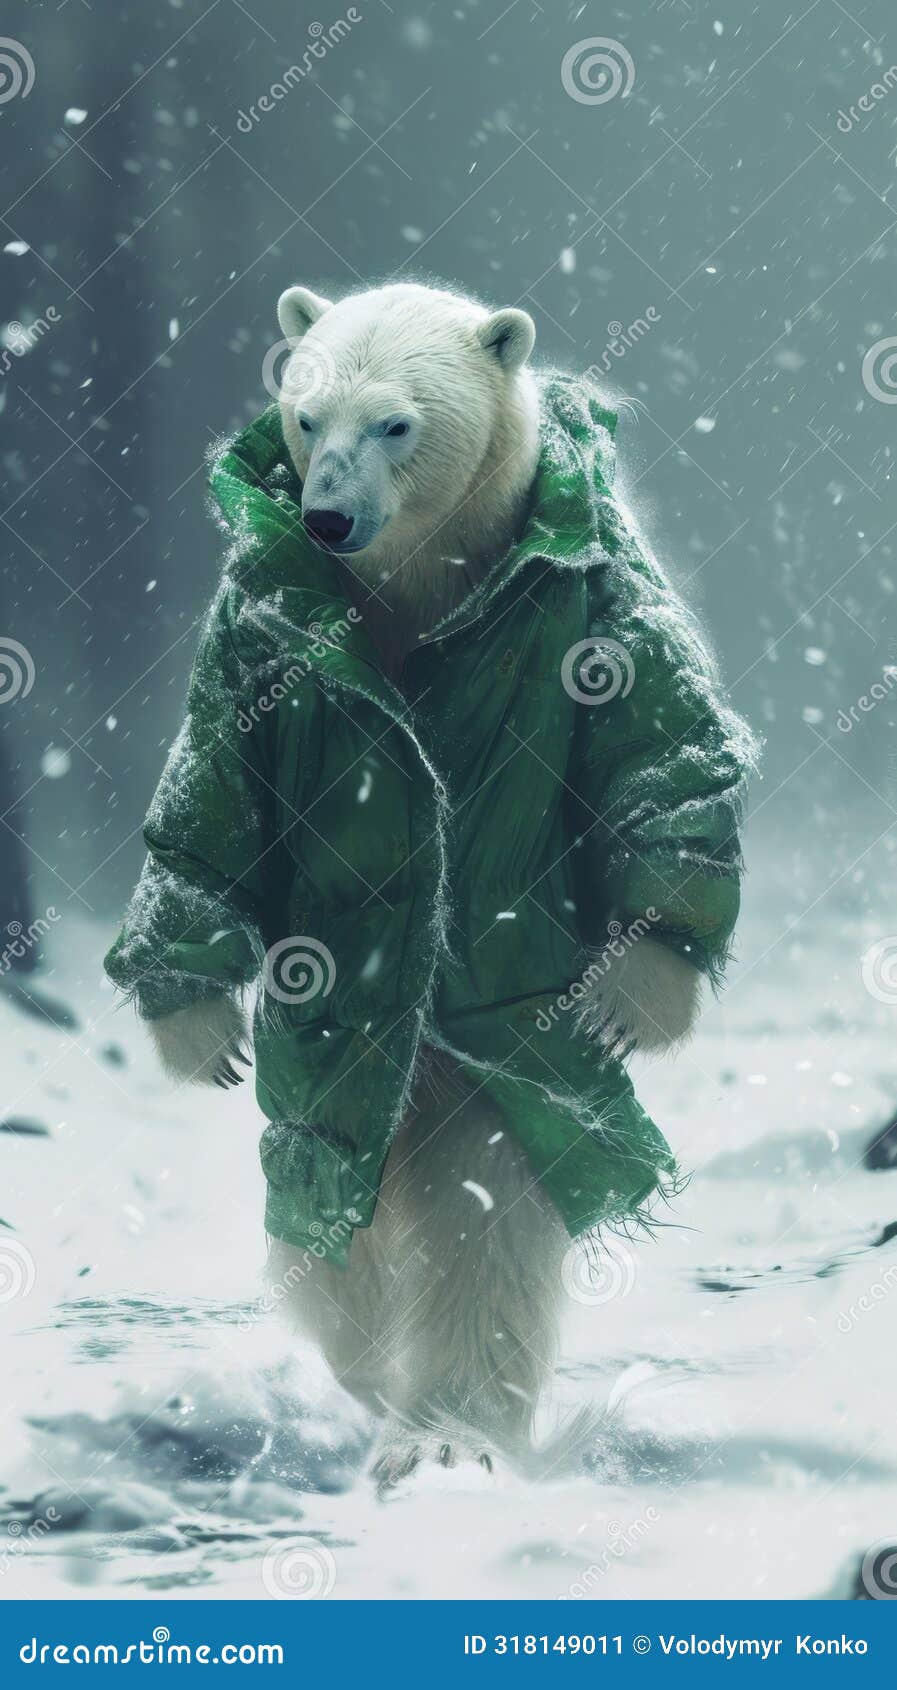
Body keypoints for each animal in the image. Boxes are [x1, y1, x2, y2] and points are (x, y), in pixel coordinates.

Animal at [106, 280, 755, 1486]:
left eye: (395, 422)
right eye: (306, 415)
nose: (325, 519)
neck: (421, 578)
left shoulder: (597, 585)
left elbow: (660, 740)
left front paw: (642, 986)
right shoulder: (254, 622)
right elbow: (217, 787)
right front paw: (195, 1026)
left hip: (502, 1024)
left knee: (481, 1196)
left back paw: (446, 1432)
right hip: (332, 1039)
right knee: (325, 1194)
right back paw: (365, 1364)